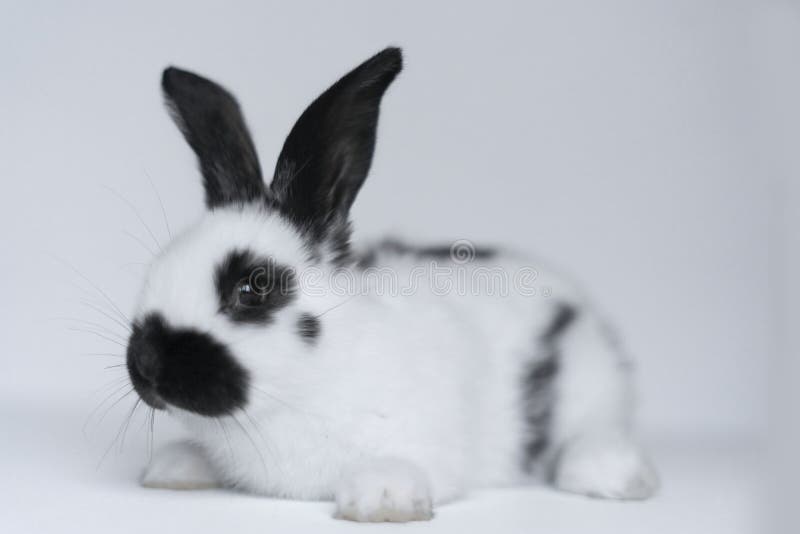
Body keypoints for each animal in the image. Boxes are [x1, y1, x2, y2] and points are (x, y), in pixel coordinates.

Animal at [126, 46, 658, 522]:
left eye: (253, 288)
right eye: (155, 270)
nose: (147, 364)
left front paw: (382, 498)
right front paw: (175, 468)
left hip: (590, 391)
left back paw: (614, 475)